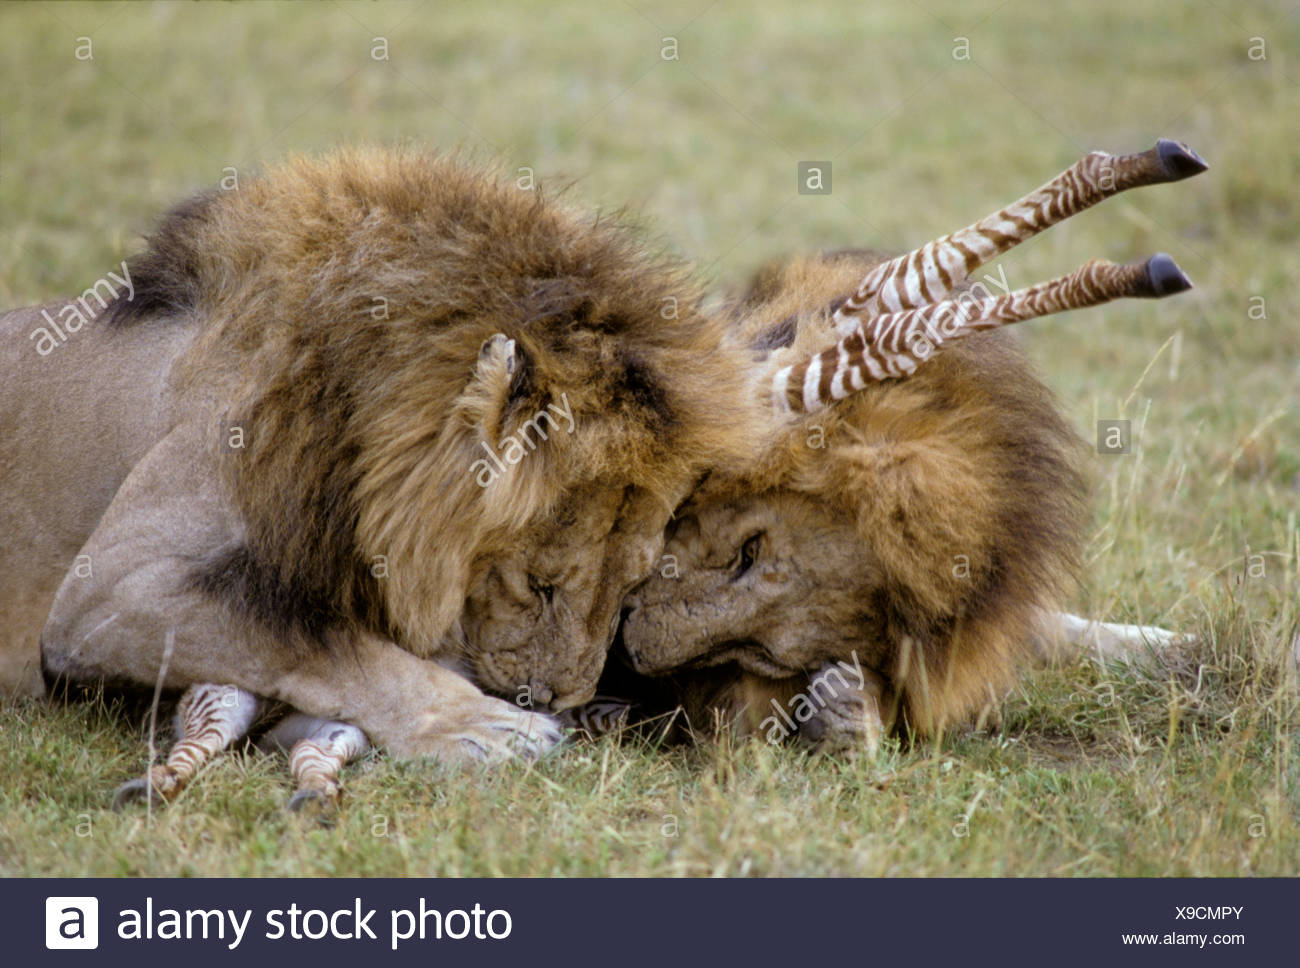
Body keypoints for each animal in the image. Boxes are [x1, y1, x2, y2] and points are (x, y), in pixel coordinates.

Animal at [3, 146, 764, 765]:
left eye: (631, 588)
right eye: (538, 583)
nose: (554, 700)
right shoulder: (106, 591)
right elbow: (310, 635)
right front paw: (479, 724)